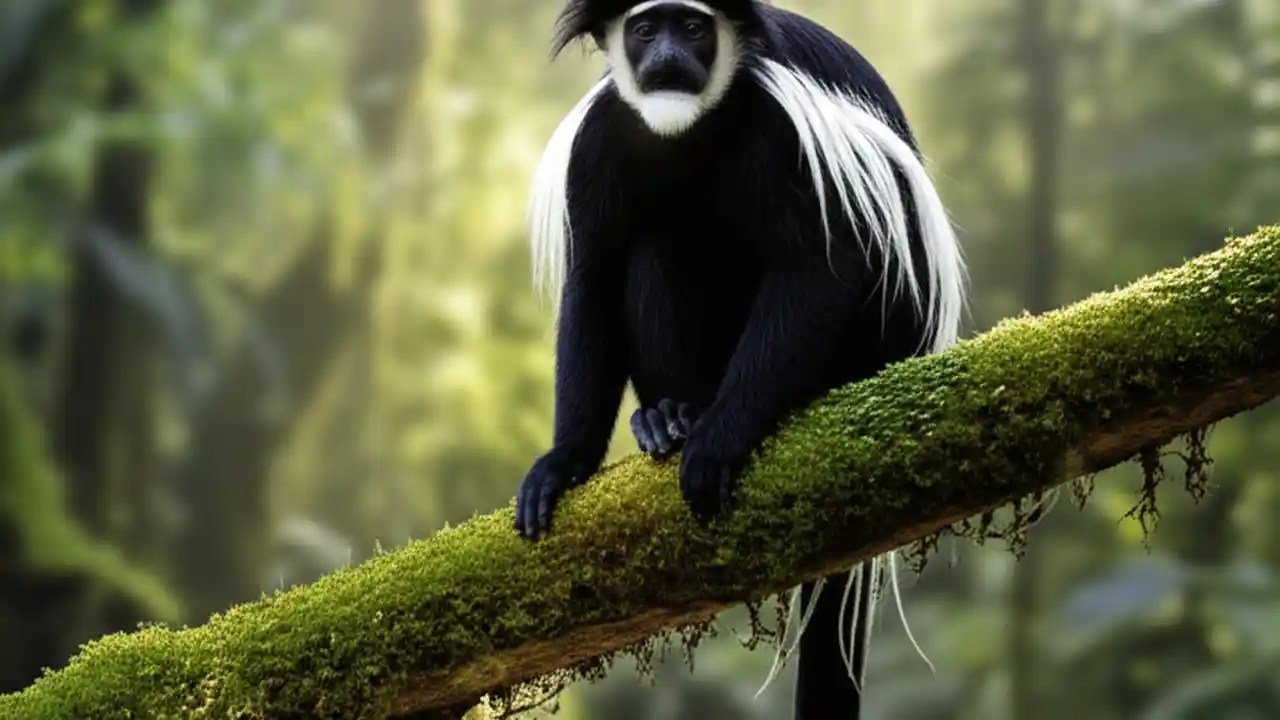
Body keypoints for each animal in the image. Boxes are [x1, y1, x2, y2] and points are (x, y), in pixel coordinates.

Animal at [513, 1, 966, 717]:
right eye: (646, 28)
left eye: (694, 27)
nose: (669, 58)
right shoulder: (601, 141)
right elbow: (593, 279)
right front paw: (564, 463)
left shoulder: (780, 127)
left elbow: (818, 266)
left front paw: (718, 443)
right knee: (656, 248)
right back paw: (667, 417)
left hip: (880, 331)